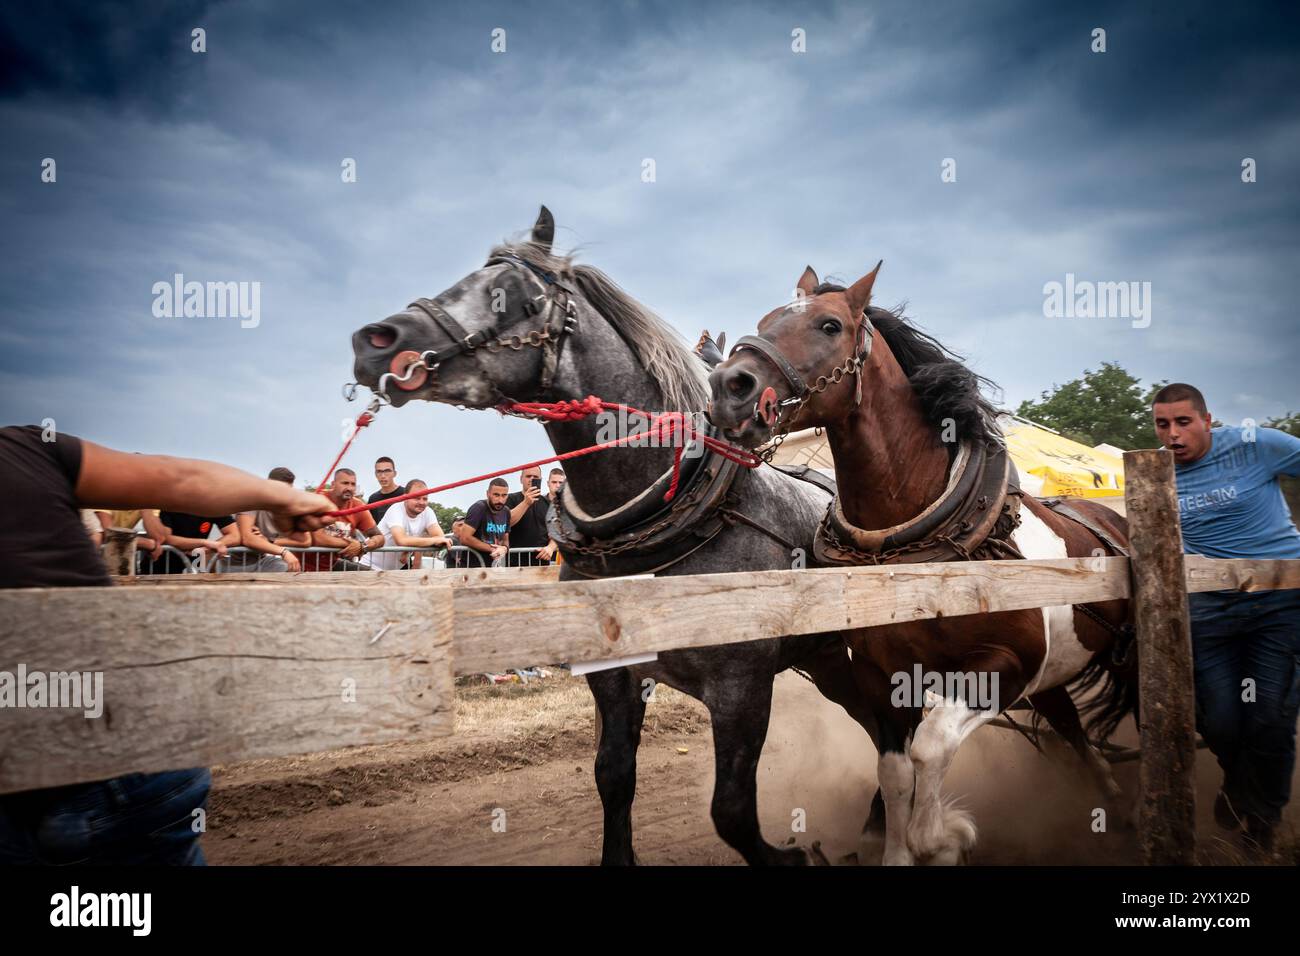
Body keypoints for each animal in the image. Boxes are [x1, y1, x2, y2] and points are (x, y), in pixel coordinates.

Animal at [349, 207, 885, 865]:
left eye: (514, 296)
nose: (375, 340)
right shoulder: (613, 675)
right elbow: (613, 777)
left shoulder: (741, 685)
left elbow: (732, 810)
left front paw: (797, 854)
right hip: (828, 655)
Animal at [707, 262, 1139, 865]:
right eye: (765, 320)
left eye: (829, 325)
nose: (728, 387)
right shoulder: (882, 675)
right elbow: (893, 773)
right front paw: (897, 850)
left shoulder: (1005, 665)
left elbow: (930, 749)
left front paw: (942, 838)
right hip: (1052, 679)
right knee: (1072, 728)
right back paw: (1112, 802)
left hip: (1127, 658)